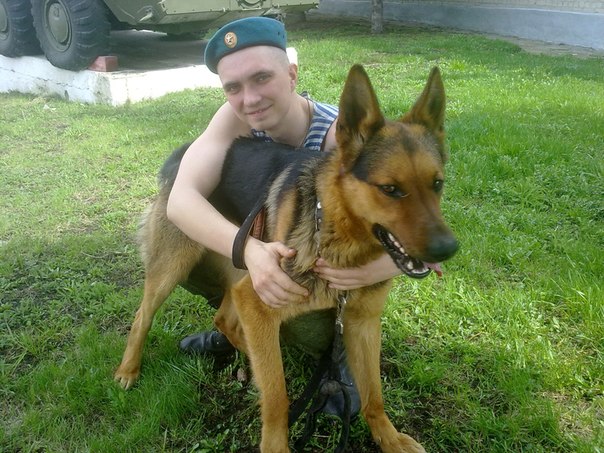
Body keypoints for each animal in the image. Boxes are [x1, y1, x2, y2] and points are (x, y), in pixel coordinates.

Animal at [115, 65, 458, 453]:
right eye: (391, 189)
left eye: (437, 184)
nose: (449, 248)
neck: (337, 233)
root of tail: (184, 153)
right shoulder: (258, 299)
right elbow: (278, 396)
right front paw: (276, 443)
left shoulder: (362, 320)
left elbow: (374, 394)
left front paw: (389, 438)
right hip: (176, 268)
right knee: (144, 316)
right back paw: (129, 370)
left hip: (240, 275)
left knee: (226, 321)